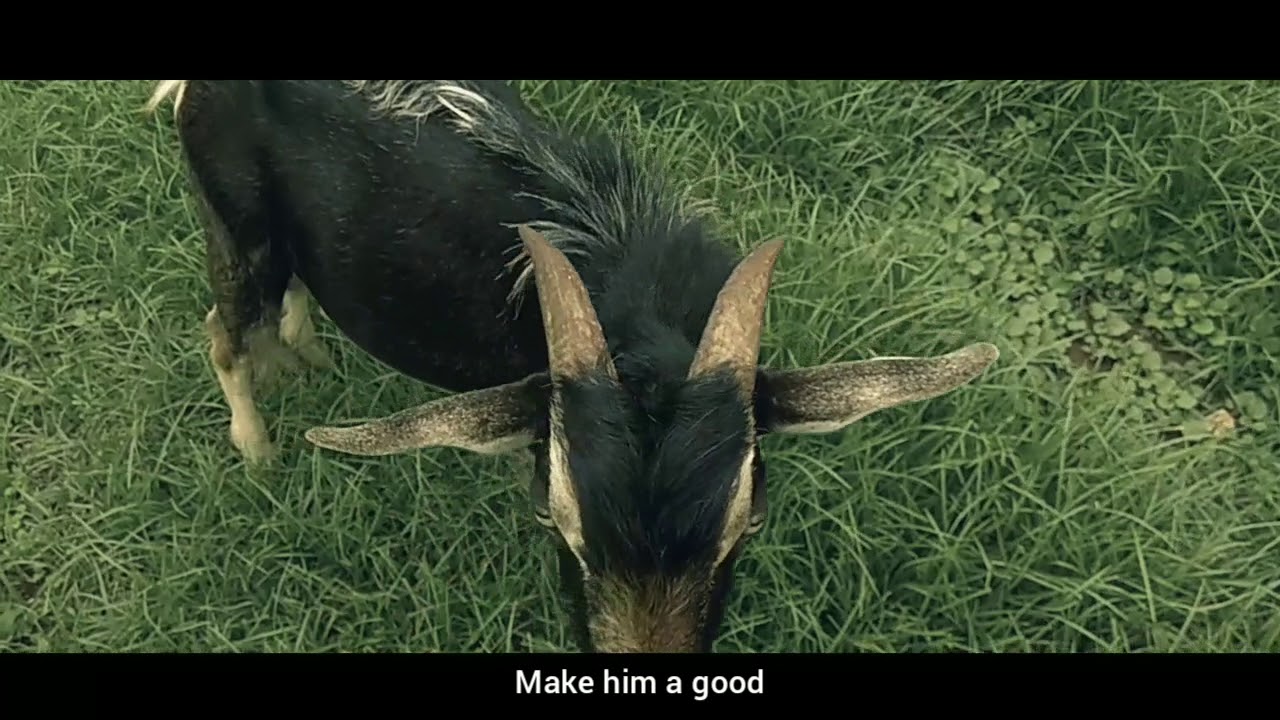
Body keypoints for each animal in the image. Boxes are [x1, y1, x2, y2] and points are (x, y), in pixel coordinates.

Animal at [147, 80, 999, 653]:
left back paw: (311, 351)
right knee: (222, 330)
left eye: (749, 520)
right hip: (235, 224)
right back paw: (257, 449)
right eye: (553, 520)